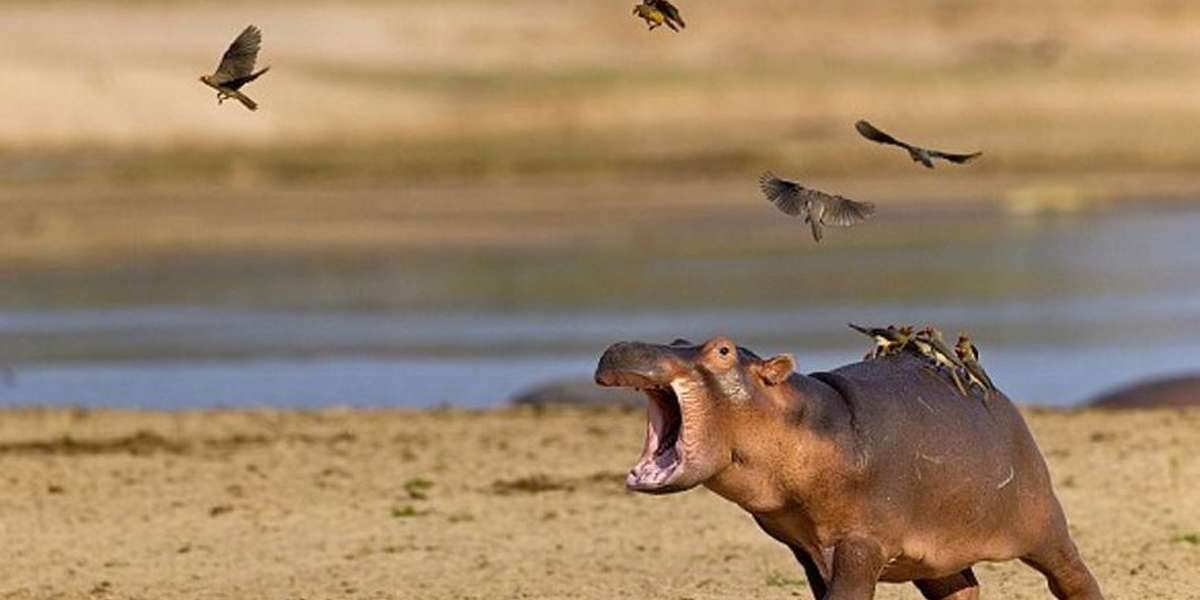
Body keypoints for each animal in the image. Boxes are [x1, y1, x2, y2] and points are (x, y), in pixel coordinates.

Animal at [595, 336, 1102, 599]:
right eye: (680, 340)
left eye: (722, 351)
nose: (623, 345)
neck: (801, 421)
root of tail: (1004, 400)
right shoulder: (803, 546)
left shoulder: (860, 543)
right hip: (933, 555)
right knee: (962, 591)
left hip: (1044, 525)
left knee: (1073, 577)